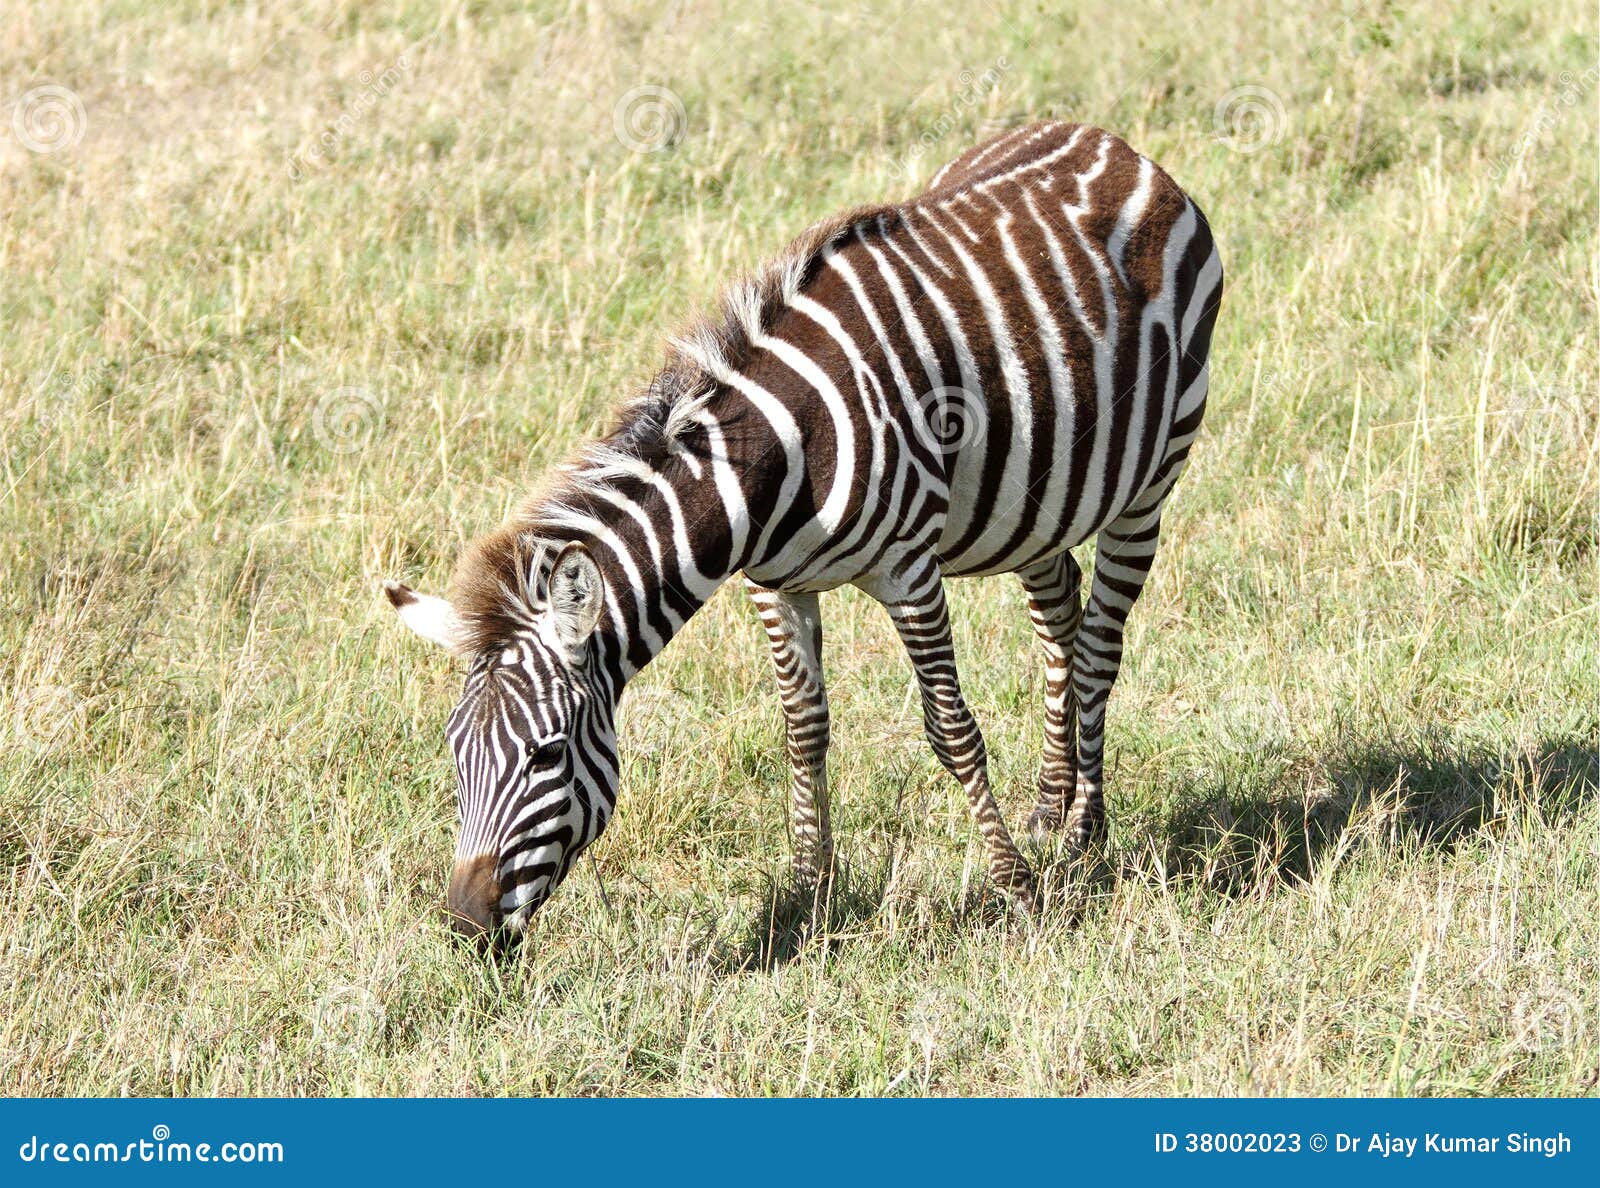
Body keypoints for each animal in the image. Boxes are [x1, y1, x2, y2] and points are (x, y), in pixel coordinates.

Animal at [385, 121, 1223, 941]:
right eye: (454, 753)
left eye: (548, 755)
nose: (465, 926)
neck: (778, 456)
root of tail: (1109, 143)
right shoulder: (773, 586)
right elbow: (804, 729)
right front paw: (807, 892)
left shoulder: (908, 570)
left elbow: (950, 729)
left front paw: (1014, 889)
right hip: (1035, 500)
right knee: (1059, 610)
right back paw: (1052, 804)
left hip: (1148, 484)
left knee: (1101, 645)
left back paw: (1083, 831)